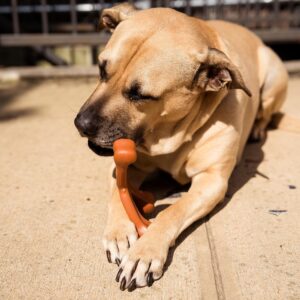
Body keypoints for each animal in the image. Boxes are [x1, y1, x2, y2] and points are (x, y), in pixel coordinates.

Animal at [74, 3, 288, 292]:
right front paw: (119, 232)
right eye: (101, 69)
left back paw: (257, 129)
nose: (80, 124)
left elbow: (172, 211)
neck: (170, 134)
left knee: (266, 113)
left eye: (140, 95)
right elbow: (118, 194)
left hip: (275, 79)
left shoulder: (211, 182)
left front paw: (145, 252)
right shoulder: (124, 167)